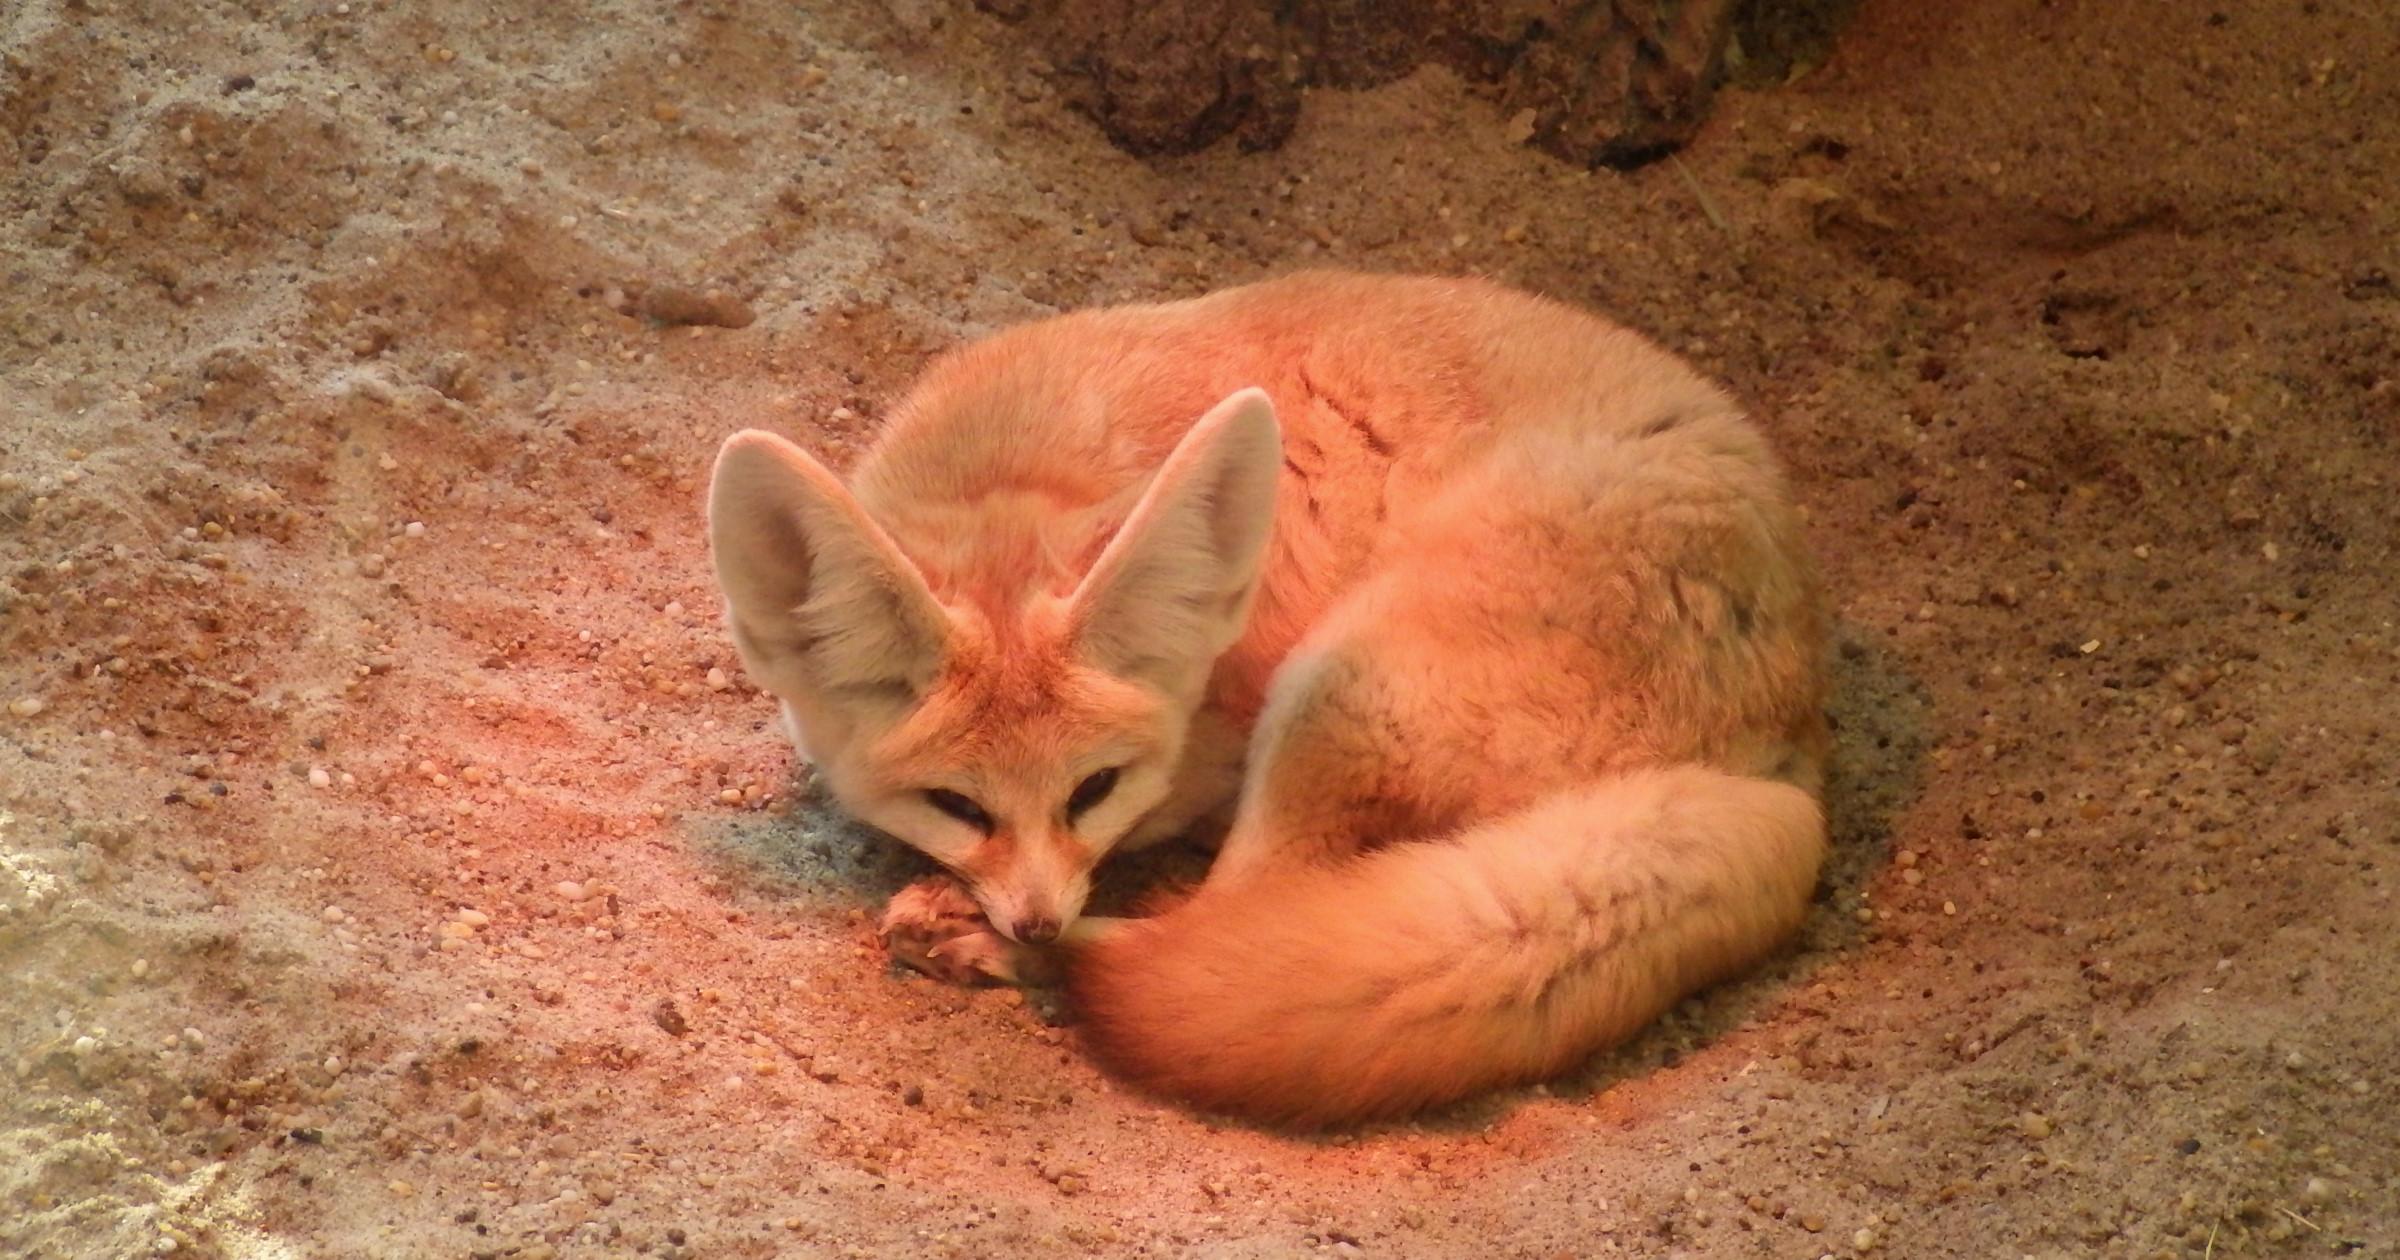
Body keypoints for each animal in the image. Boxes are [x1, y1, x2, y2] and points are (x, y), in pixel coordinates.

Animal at [706, 270, 1830, 1127]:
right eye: (956, 805)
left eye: (1093, 789)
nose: (1031, 924)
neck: (1021, 470)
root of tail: (1795, 764)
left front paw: (1000, 921)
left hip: (1341, 680)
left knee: (1231, 922)